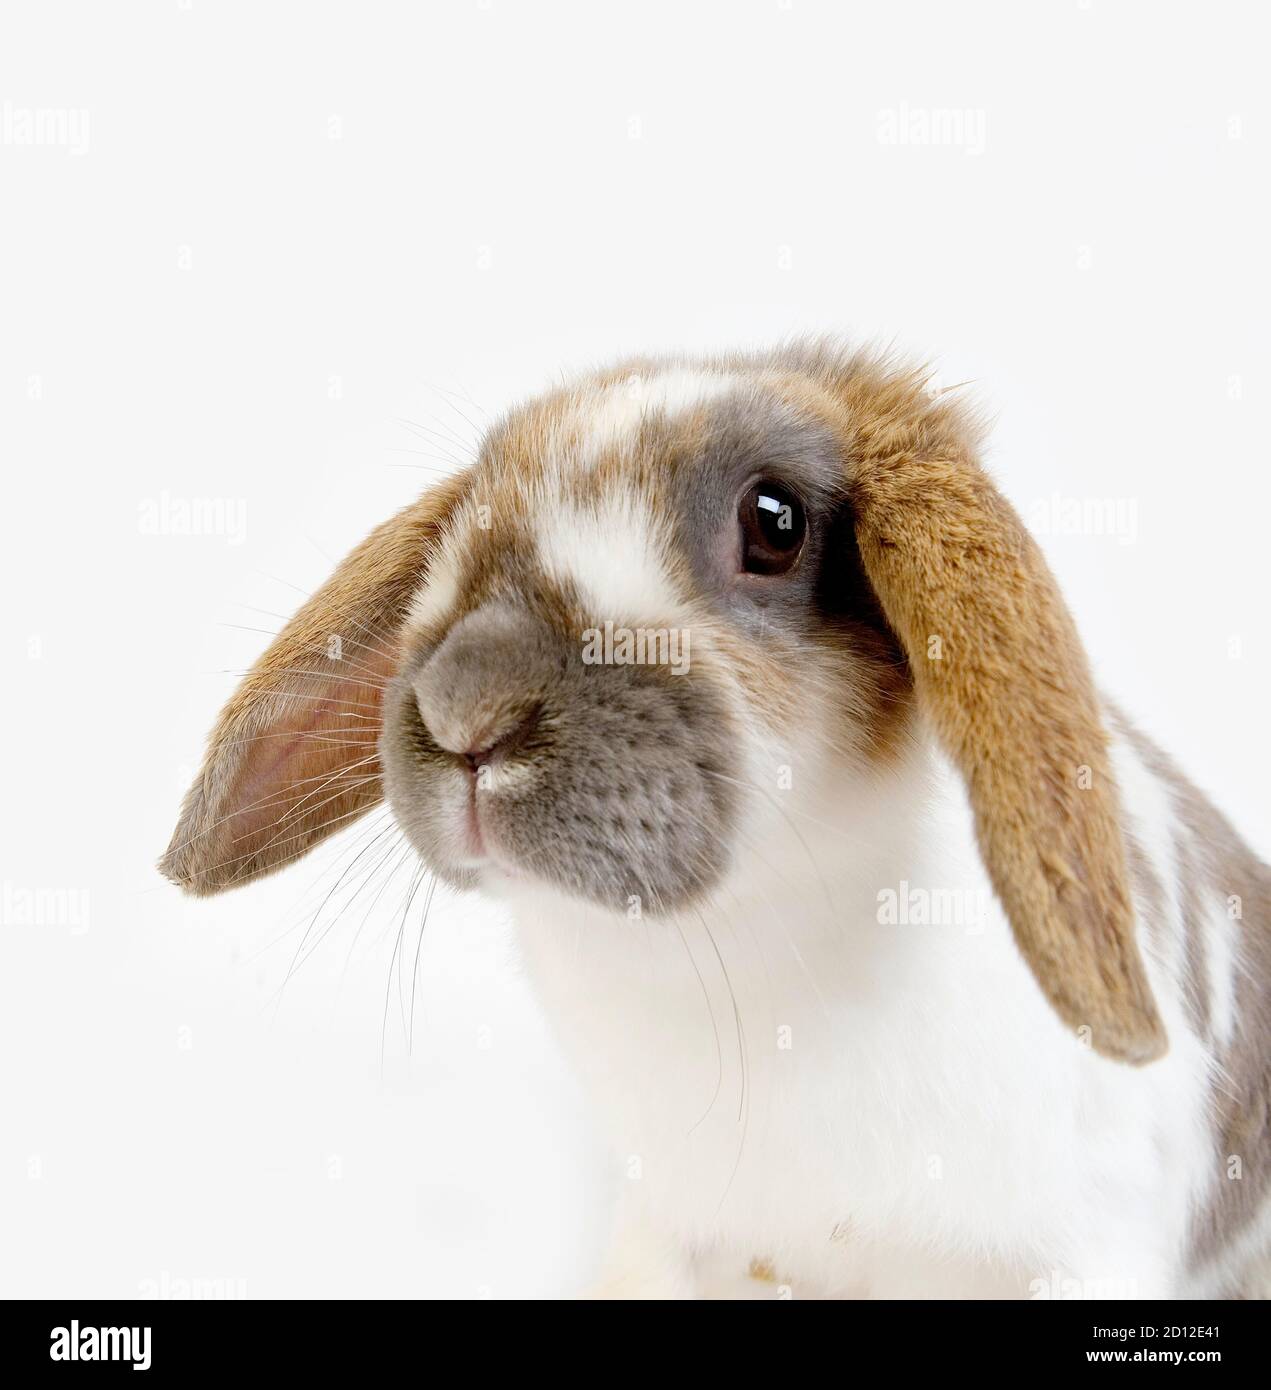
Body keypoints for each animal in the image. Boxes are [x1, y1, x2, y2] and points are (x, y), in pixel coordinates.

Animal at [161, 341, 1270, 1299]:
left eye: (774, 521)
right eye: (465, 520)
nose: (466, 709)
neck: (742, 946)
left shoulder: (1085, 1246)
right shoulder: (670, 1235)